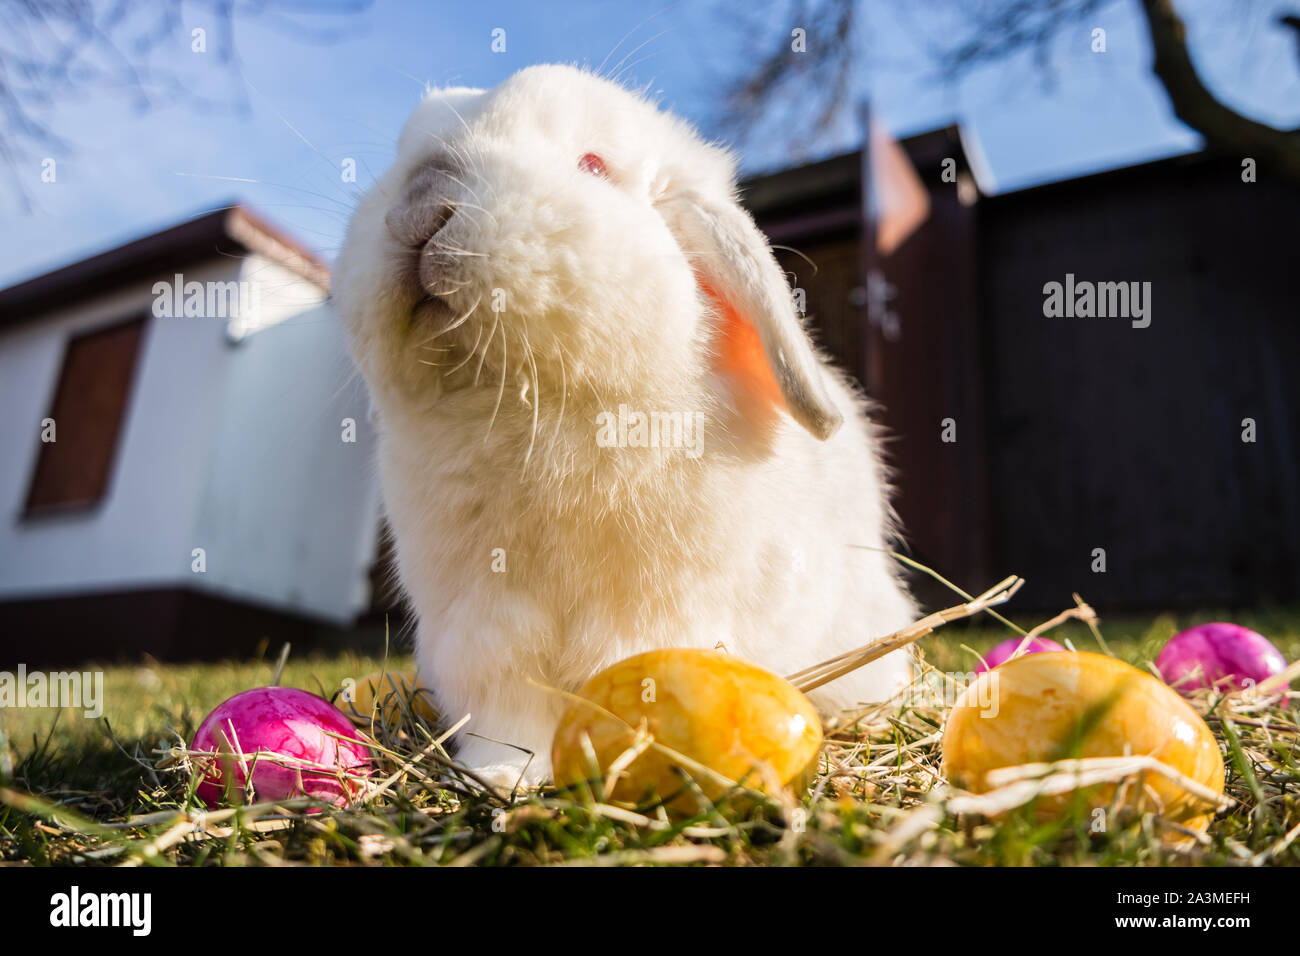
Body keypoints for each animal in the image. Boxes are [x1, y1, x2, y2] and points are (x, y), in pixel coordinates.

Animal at [332, 64, 918, 790]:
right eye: (403, 154)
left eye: (594, 164)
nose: (421, 205)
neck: (523, 407)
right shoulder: (482, 623)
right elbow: (506, 712)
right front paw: (501, 776)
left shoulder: (654, 609)